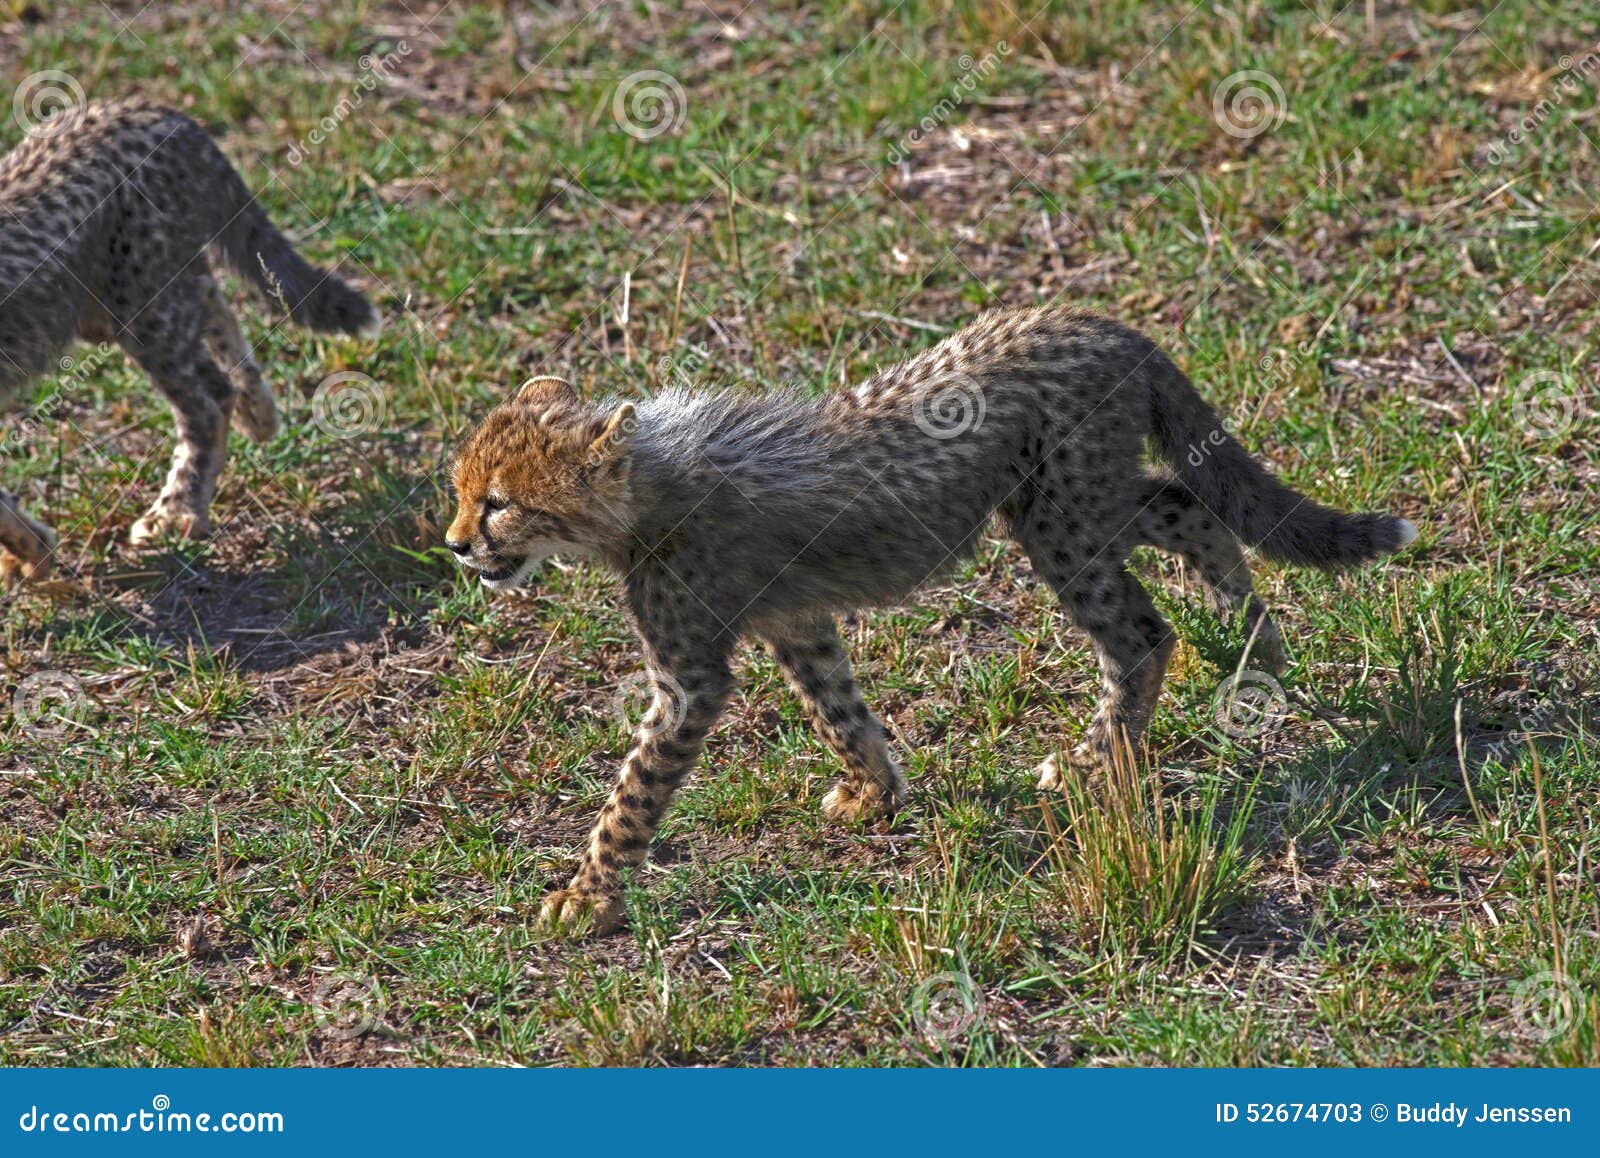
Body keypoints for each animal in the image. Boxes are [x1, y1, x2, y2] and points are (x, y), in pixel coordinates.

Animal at [0, 98, 380, 586]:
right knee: (213, 303)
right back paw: (259, 414)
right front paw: (31, 552)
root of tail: (145, 107)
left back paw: (178, 510)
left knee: (209, 397)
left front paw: (35, 553)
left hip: (140, 308)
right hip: (118, 303)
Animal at [446, 306, 1418, 937]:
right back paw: (1257, 641)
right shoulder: (797, 620)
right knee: (1189, 503)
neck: (645, 487)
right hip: (1071, 502)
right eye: (461, 492)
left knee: (1142, 631)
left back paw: (1098, 761)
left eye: (499, 503)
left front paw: (587, 896)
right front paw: (875, 791)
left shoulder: (690, 678)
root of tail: (1096, 321)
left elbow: (633, 792)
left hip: (1061, 518)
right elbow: (838, 709)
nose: (456, 545)